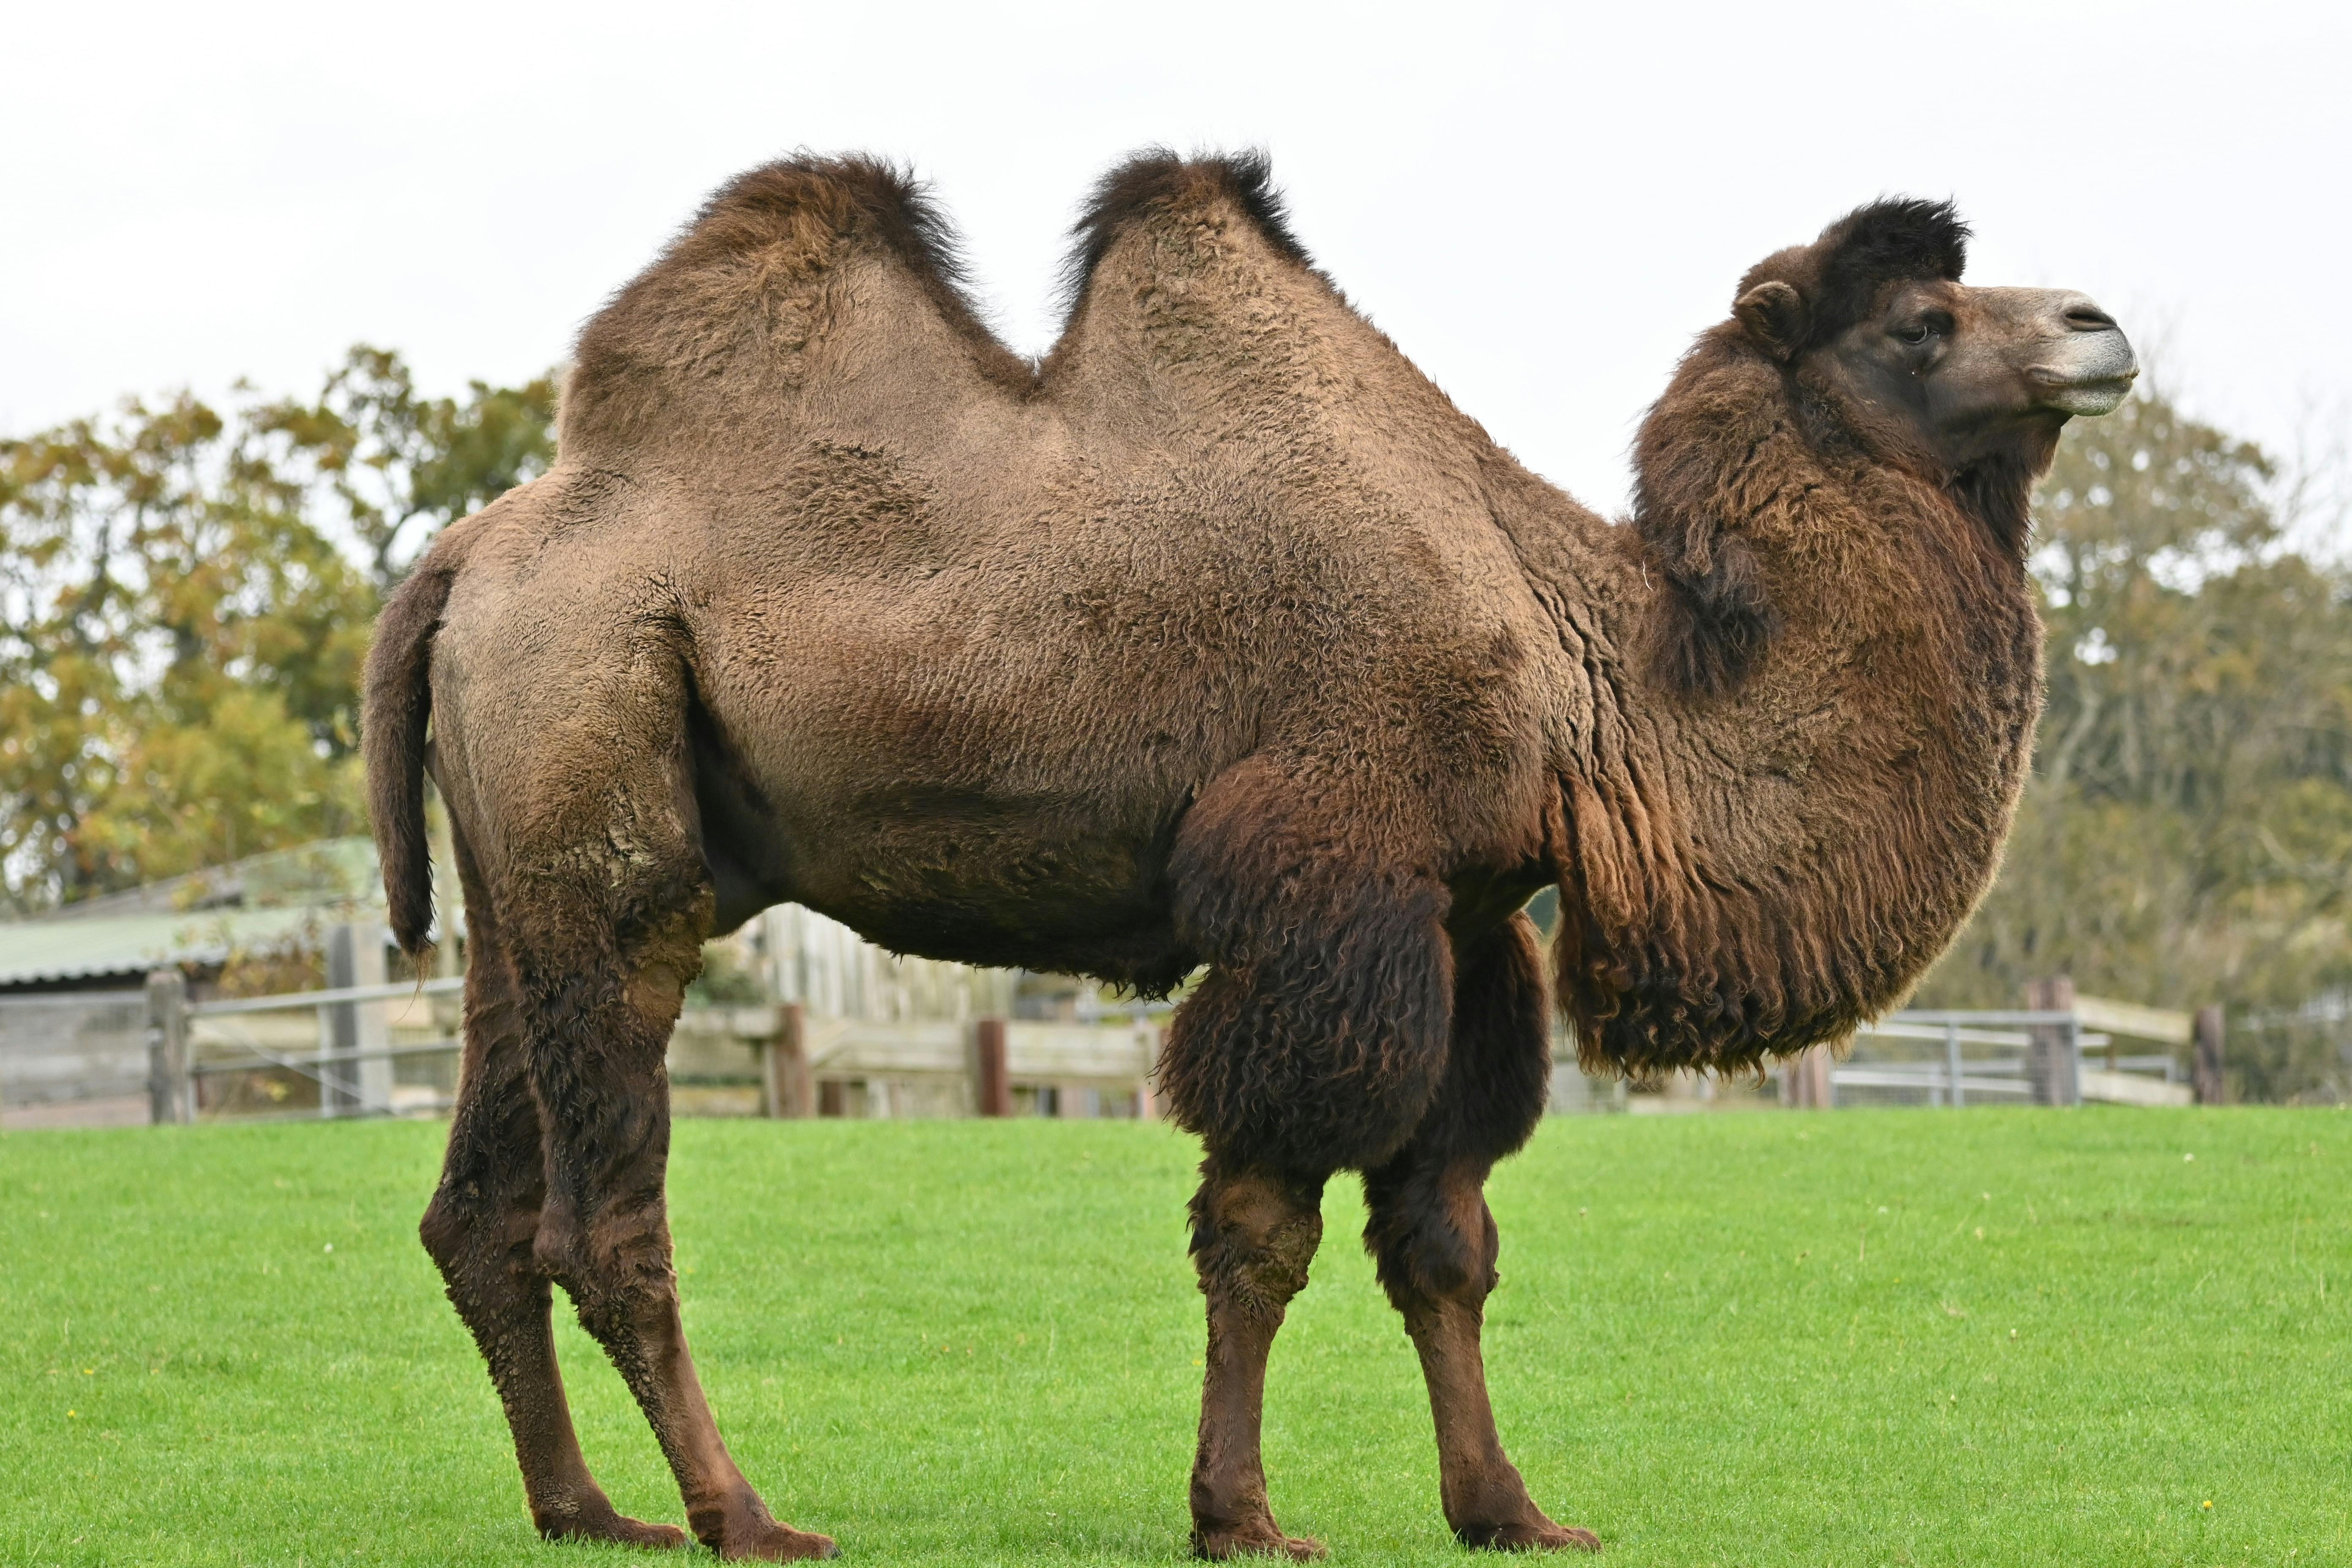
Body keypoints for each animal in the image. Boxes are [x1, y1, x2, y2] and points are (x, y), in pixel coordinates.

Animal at [363, 151, 2134, 1560]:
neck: (1590, 676)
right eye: (1916, 322)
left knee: (479, 1202)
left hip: (522, 877)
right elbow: (1264, 1228)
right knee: (606, 1211)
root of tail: (467, 556)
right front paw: (1244, 1516)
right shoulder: (1329, 887)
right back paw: (746, 1516)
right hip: (602, 797)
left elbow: (1445, 1239)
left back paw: (589, 1510)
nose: (2096, 329)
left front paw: (1510, 1510)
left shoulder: (1464, 921)